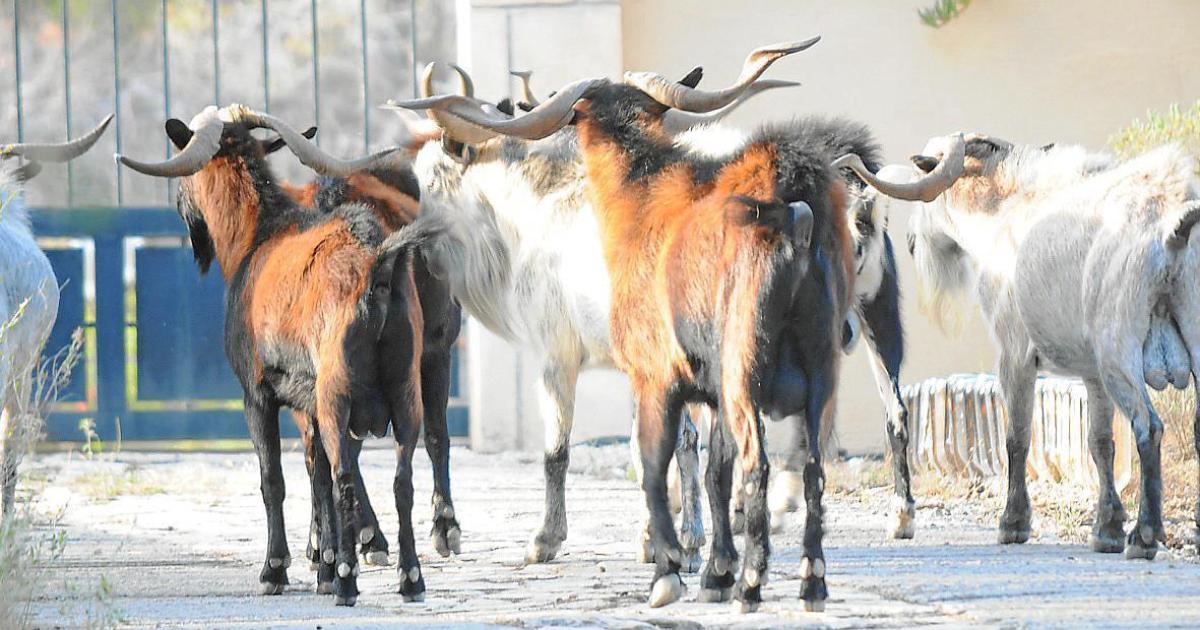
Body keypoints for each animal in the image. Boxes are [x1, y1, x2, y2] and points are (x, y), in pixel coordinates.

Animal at [116, 105, 434, 605]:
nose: (182, 209)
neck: (259, 235)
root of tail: (378, 262)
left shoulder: (258, 395)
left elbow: (275, 480)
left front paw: (278, 570)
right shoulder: (308, 405)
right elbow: (316, 477)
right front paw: (325, 569)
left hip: (337, 394)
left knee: (345, 478)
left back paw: (349, 584)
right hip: (404, 392)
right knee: (401, 481)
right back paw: (410, 579)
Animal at [839, 133, 1200, 560]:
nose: (910, 242)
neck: (1006, 210)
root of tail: (1173, 226)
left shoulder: (1015, 354)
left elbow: (1017, 437)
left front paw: (1013, 523)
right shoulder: (1092, 374)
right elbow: (1100, 443)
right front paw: (1107, 528)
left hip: (1119, 351)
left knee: (1148, 427)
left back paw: (1144, 536)